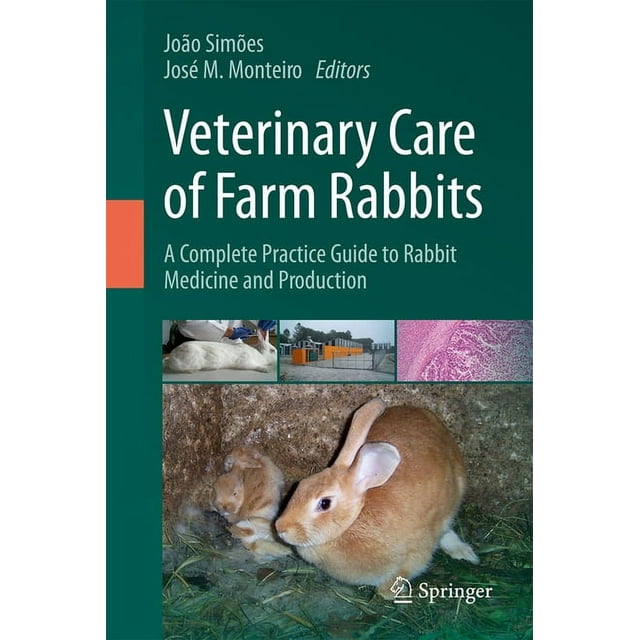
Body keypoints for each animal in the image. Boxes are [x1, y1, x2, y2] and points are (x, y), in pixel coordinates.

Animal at [275, 398, 479, 599]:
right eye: (300, 485)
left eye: (325, 503)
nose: (280, 527)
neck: (353, 521)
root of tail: (426, 413)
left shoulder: (417, 553)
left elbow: (398, 577)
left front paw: (391, 592)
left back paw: (464, 552)